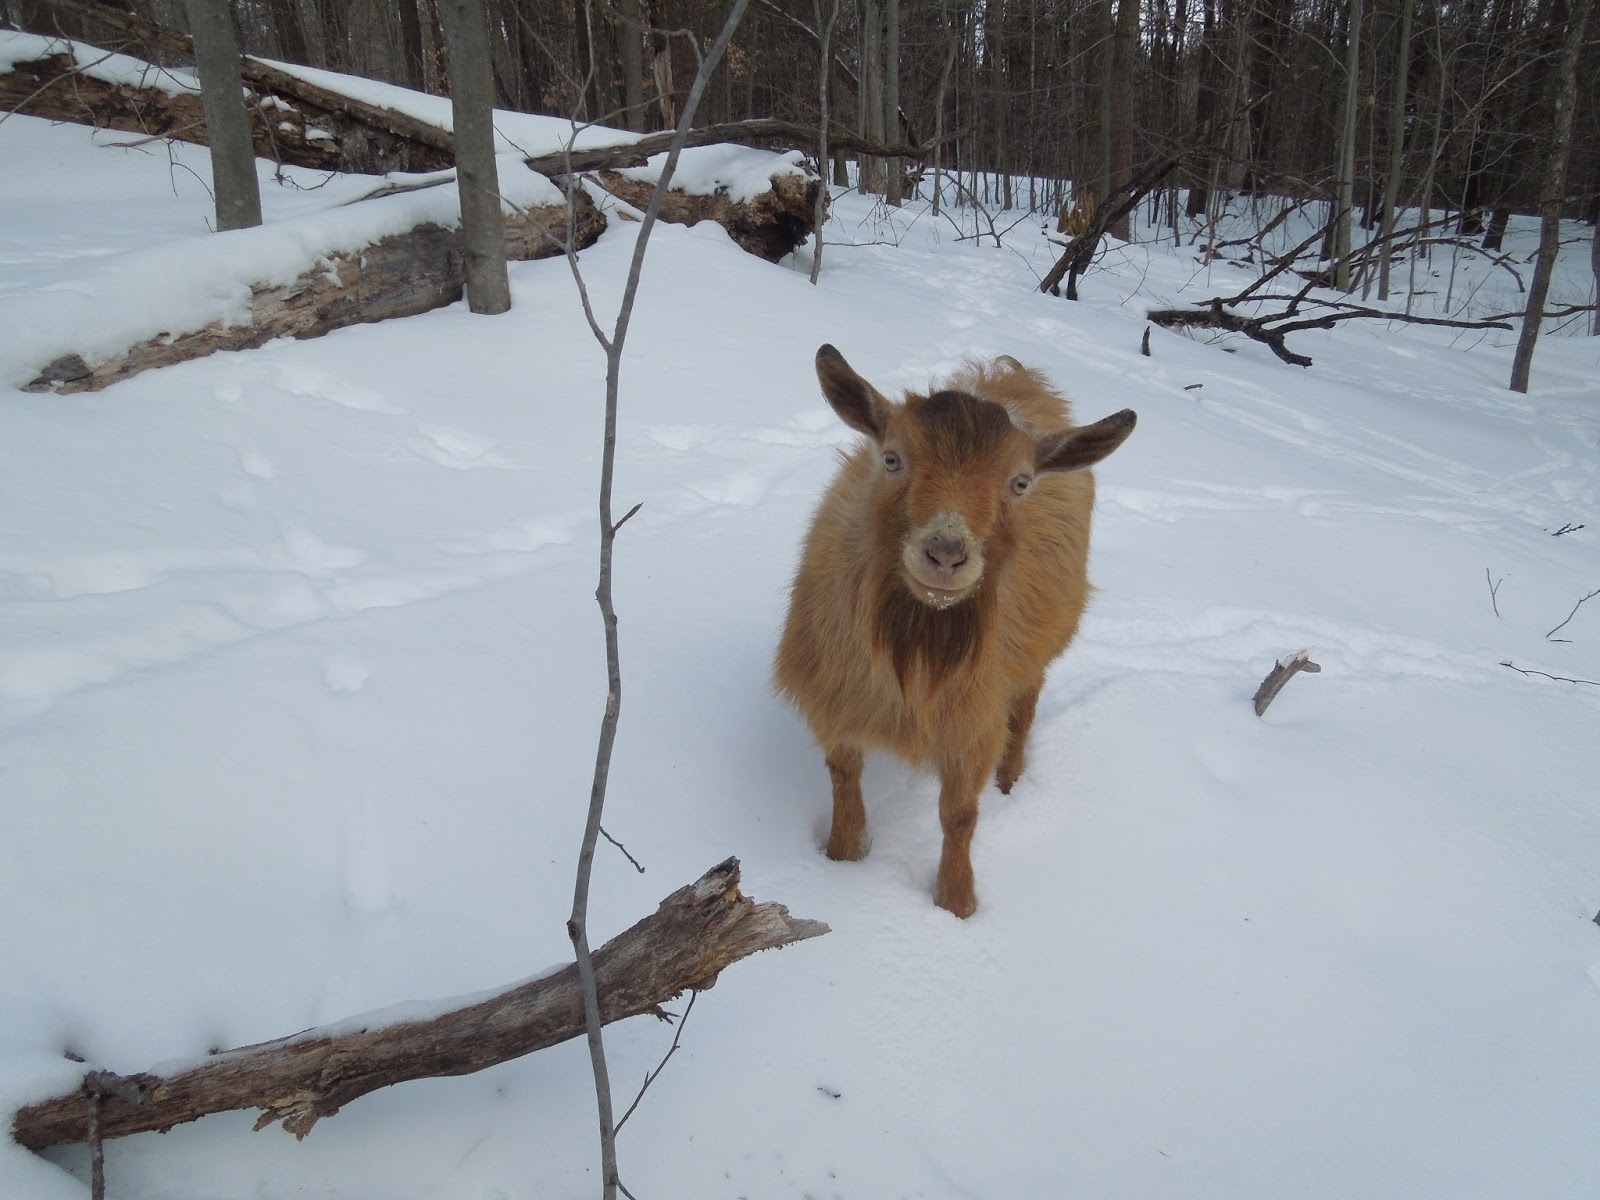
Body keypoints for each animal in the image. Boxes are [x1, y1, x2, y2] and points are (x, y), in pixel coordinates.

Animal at [774, 345, 1136, 918]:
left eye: (1020, 482)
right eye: (892, 458)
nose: (945, 554)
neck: (916, 644)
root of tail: (1015, 377)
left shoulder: (973, 722)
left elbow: (960, 816)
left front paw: (957, 904)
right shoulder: (837, 698)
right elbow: (843, 778)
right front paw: (843, 858)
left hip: (1037, 657)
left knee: (1026, 709)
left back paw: (1010, 781)